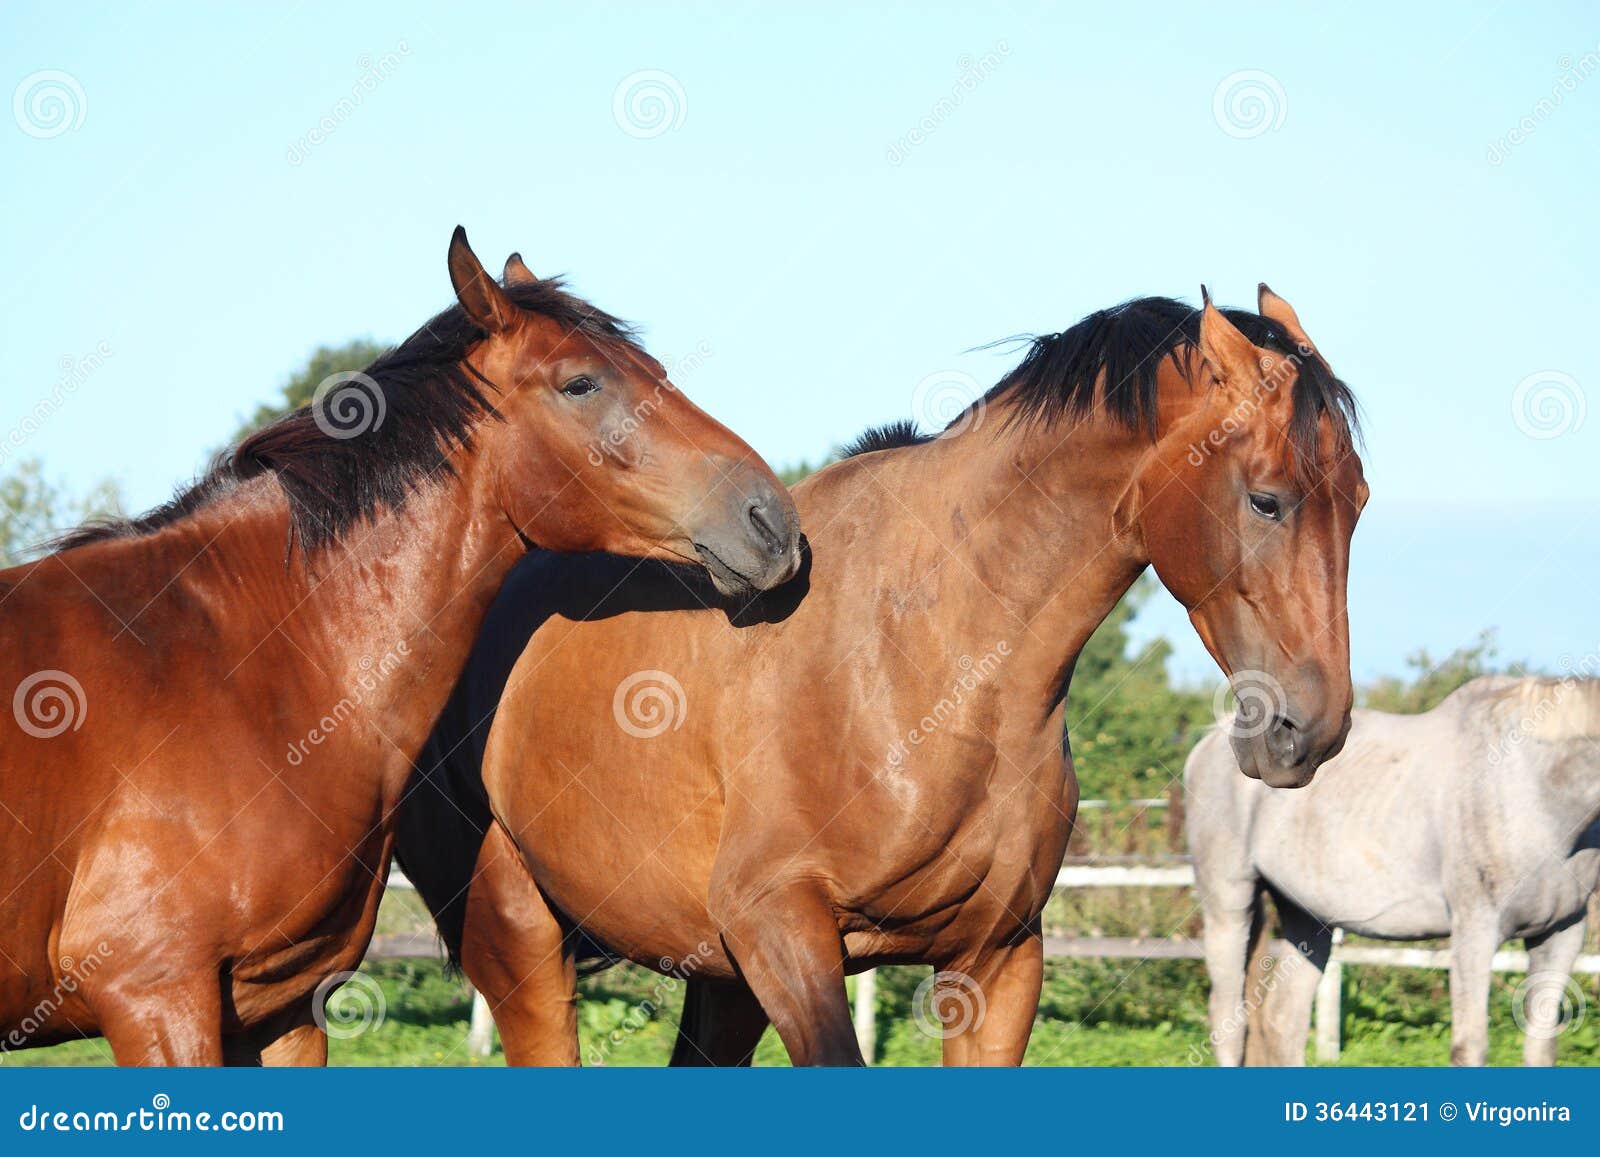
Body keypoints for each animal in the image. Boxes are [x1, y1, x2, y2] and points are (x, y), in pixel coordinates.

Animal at [397, 286, 1368, 1065]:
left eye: (1356, 500)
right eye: (1266, 499)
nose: (1307, 730)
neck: (933, 659)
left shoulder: (998, 958)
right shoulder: (784, 931)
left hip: (716, 974)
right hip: (517, 936)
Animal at [1187, 675, 1600, 1067]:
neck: (1533, 791)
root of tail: (1210, 742)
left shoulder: (1562, 935)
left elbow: (1542, 1050)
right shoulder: (1476, 933)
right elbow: (1470, 1048)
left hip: (1305, 916)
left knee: (1284, 1020)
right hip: (1228, 908)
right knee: (1229, 1021)